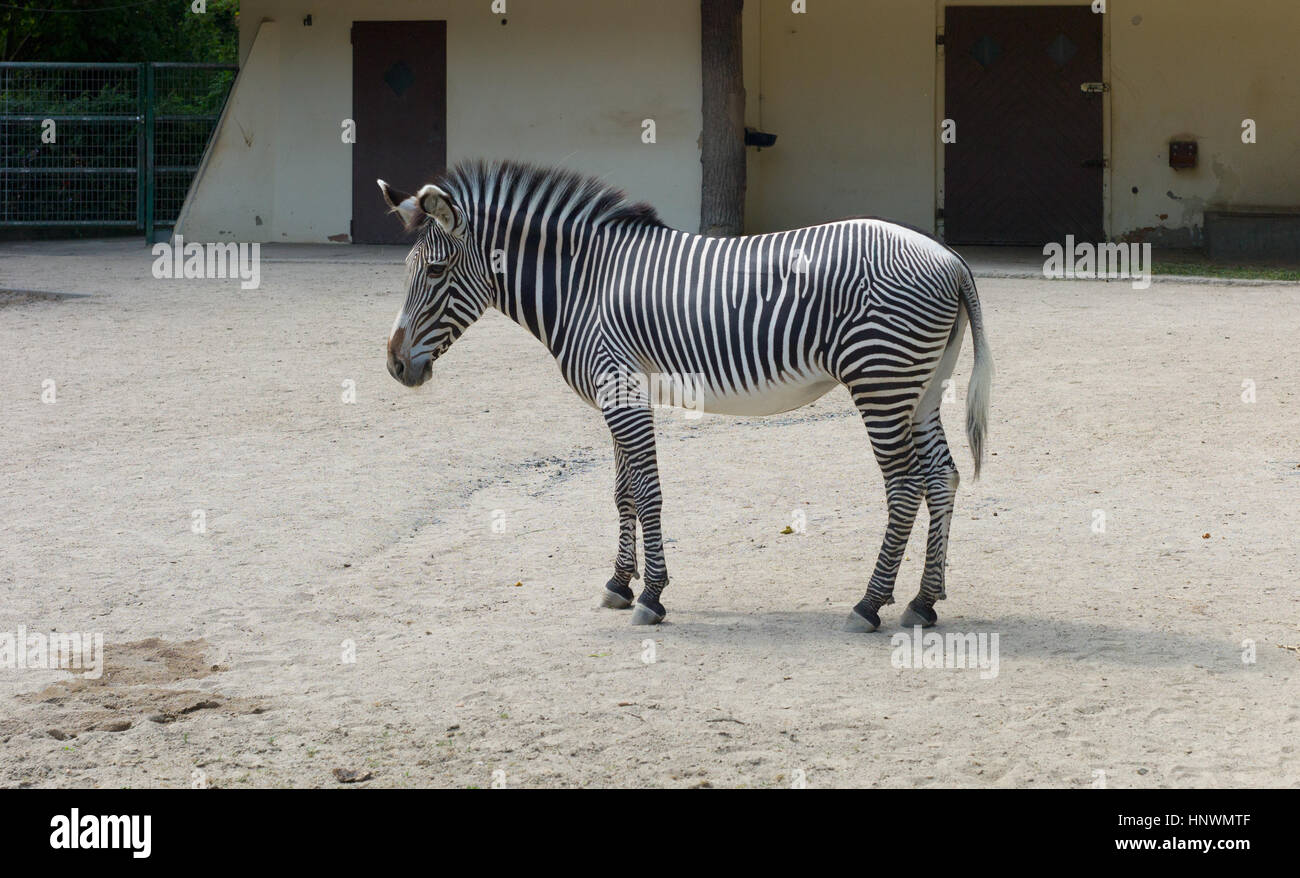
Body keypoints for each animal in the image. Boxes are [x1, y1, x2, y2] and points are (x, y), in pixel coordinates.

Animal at [379, 160, 992, 631]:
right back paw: (923, 601)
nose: (394, 365)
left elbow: (647, 492)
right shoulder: (620, 390)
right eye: (407, 269)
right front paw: (618, 583)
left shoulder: (619, 387)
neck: (582, 286)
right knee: (942, 476)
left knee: (905, 485)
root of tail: (948, 257)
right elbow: (622, 492)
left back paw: (869, 604)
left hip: (880, 381)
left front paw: (651, 596)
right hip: (921, 387)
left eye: (436, 271)